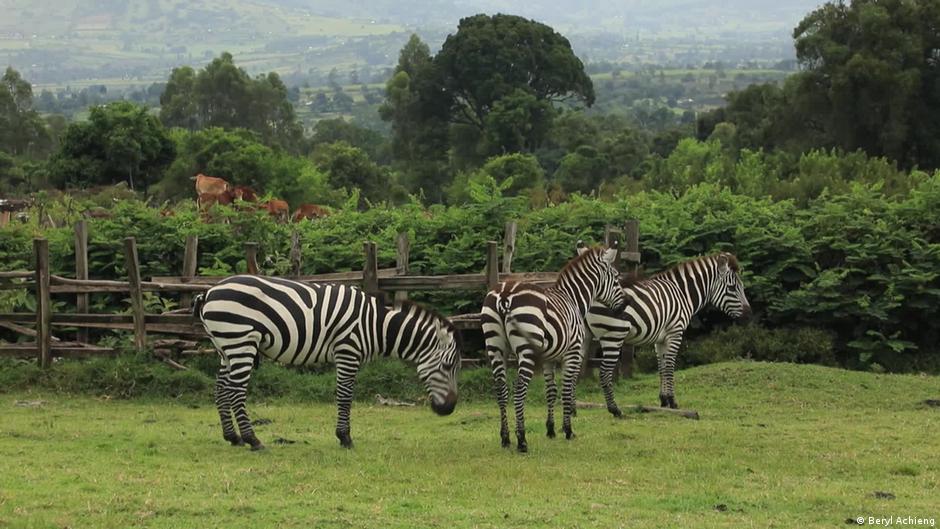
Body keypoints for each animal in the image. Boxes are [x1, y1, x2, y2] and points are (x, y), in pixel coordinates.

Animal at [193, 275, 460, 450]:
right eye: (448, 367)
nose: (449, 409)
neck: (376, 325)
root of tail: (209, 292)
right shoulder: (348, 350)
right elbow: (345, 395)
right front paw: (345, 438)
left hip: (225, 345)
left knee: (221, 389)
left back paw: (233, 437)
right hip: (240, 340)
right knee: (236, 391)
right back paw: (253, 440)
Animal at [481, 245, 628, 452]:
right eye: (615, 277)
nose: (625, 306)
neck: (573, 299)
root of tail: (504, 294)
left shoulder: (547, 358)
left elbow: (550, 391)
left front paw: (550, 429)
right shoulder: (572, 352)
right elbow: (566, 389)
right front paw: (568, 430)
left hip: (495, 346)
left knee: (501, 389)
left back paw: (505, 438)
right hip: (526, 349)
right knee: (519, 388)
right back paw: (522, 440)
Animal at [583, 252, 751, 415]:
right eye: (732, 288)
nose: (748, 315)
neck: (682, 294)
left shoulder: (660, 339)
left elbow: (662, 367)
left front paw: (664, 401)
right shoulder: (675, 333)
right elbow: (670, 366)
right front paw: (672, 402)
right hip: (614, 335)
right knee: (604, 372)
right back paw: (614, 409)